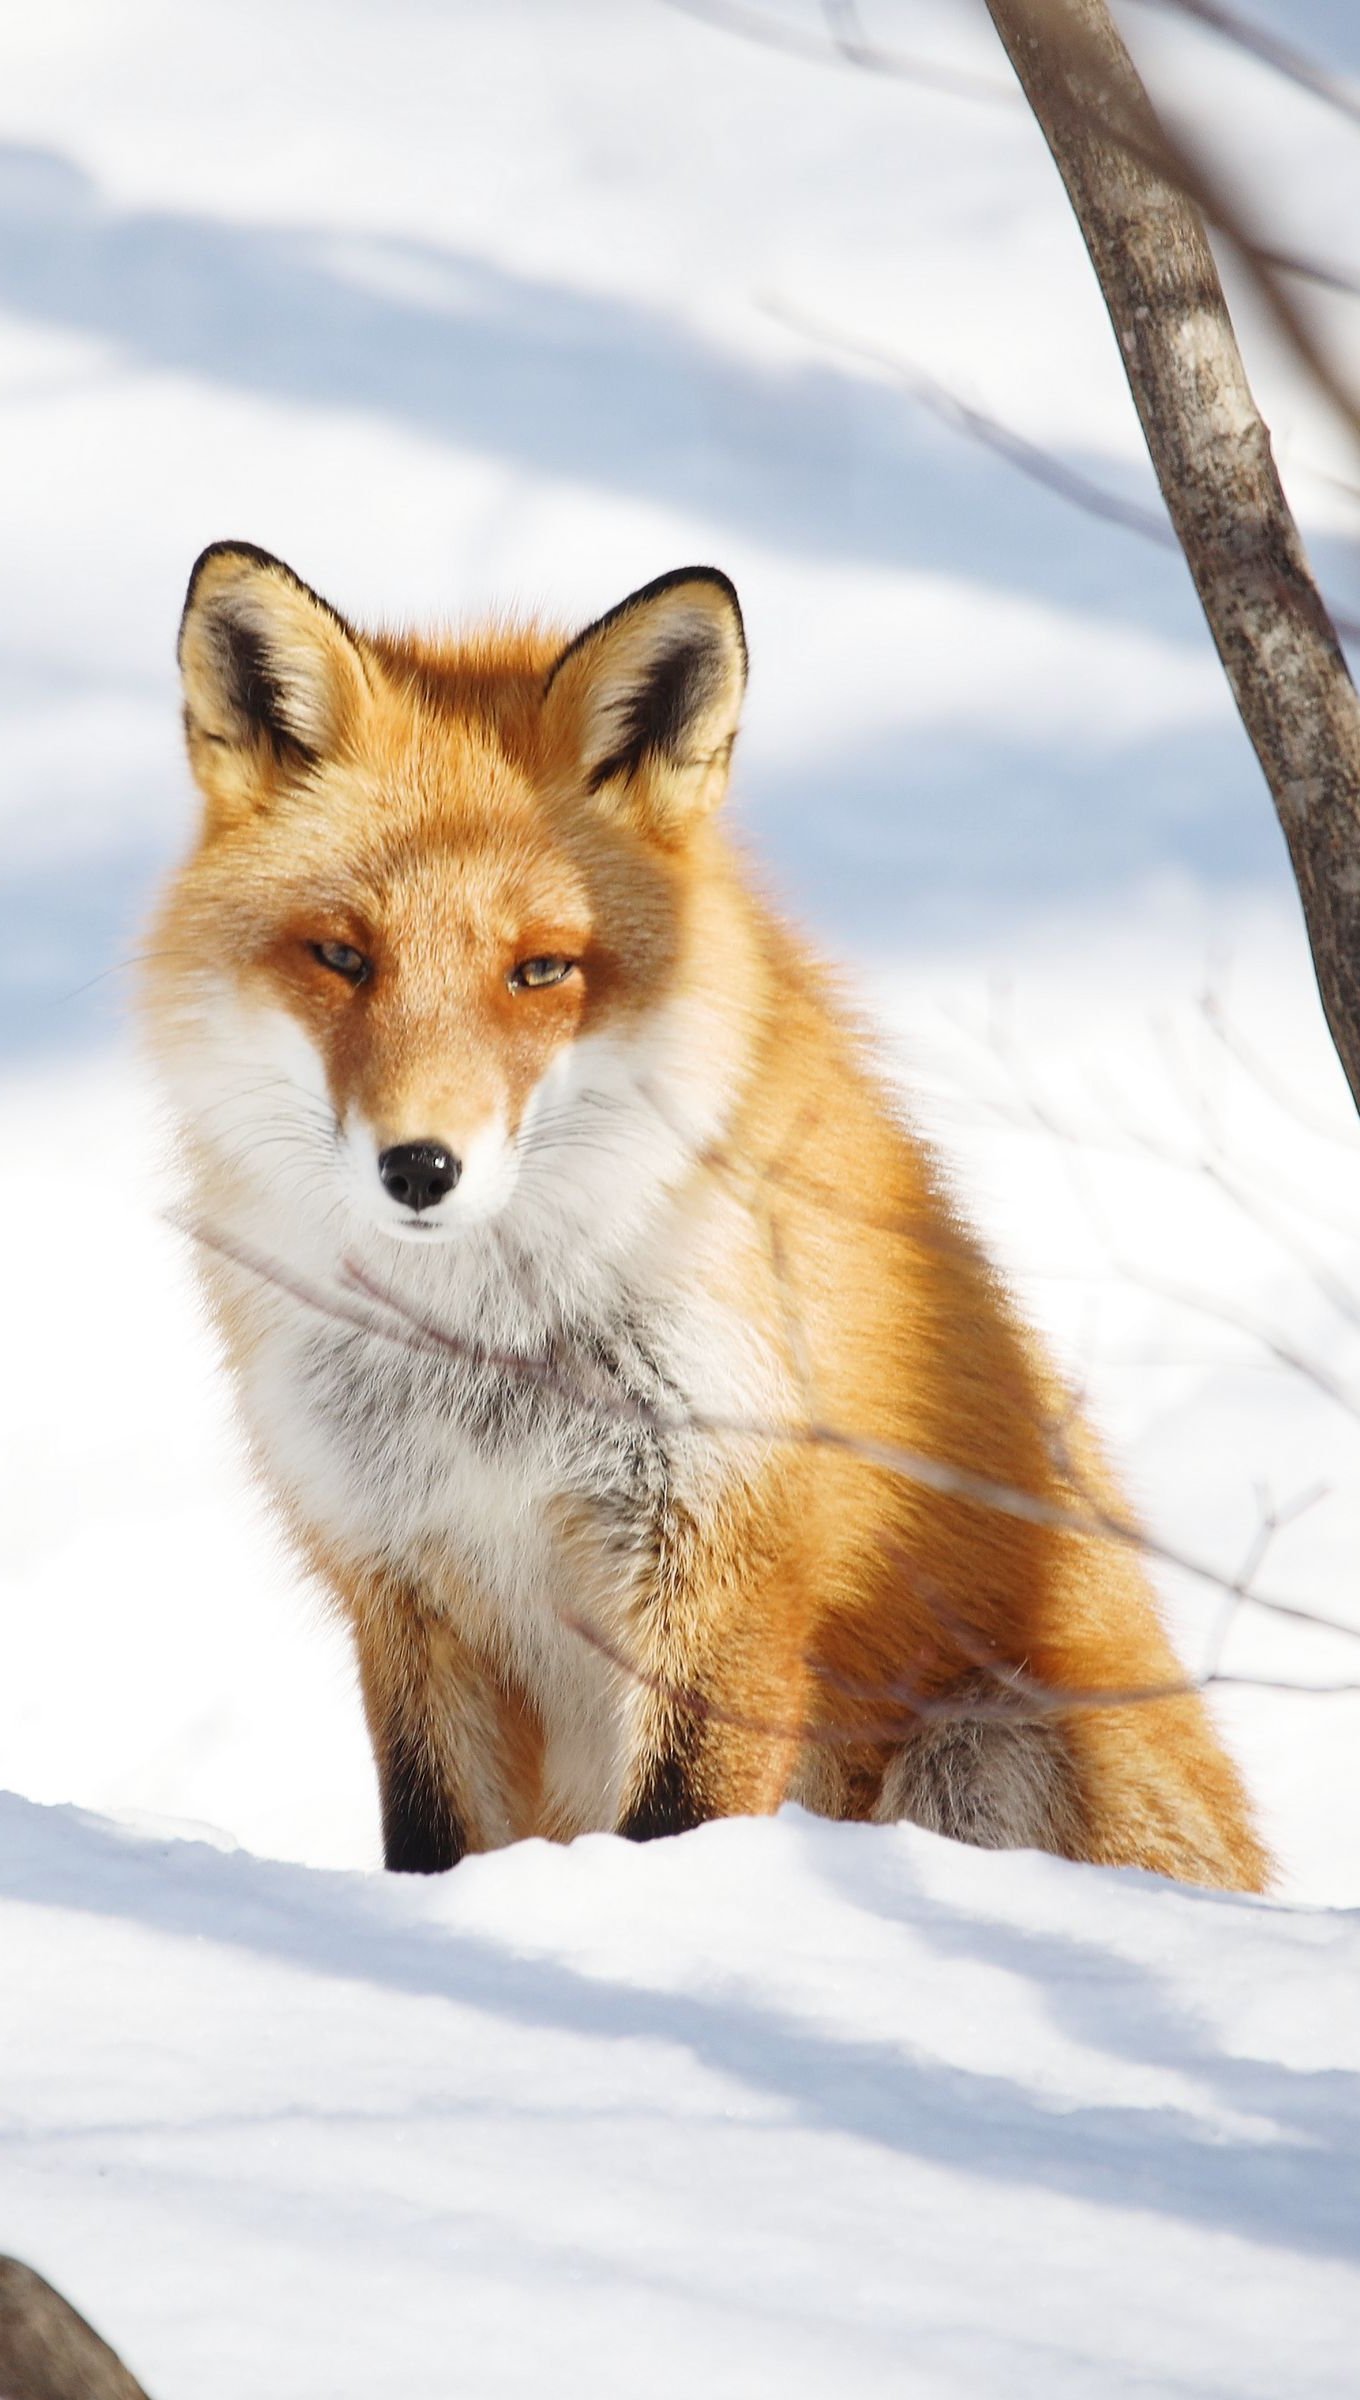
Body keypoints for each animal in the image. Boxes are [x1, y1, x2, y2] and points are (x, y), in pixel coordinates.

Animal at [144, 540, 1270, 1890]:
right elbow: (431, 1846)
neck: (488, 1362)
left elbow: (681, 1824)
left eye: (541, 969)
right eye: (343, 957)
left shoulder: (725, 1571)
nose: (420, 1167)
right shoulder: (402, 1581)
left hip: (984, 1742)